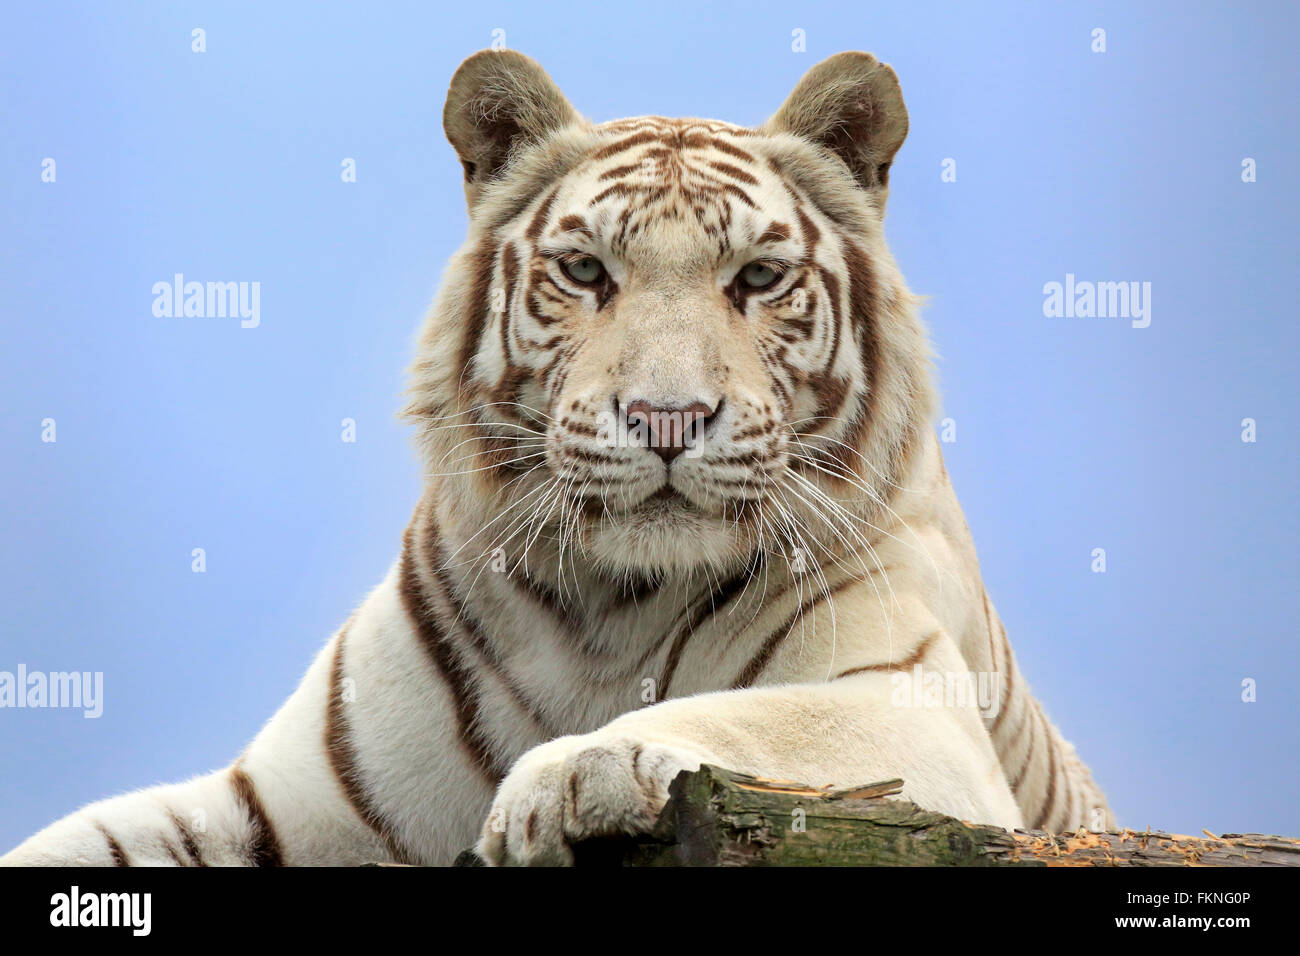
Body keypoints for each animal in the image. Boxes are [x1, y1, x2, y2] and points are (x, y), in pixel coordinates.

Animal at [2, 48, 1111, 867]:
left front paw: (568, 776)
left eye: (757, 278)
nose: (666, 417)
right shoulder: (273, 800)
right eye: (585, 271)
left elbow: (755, 717)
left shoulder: (909, 712)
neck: (606, 612)